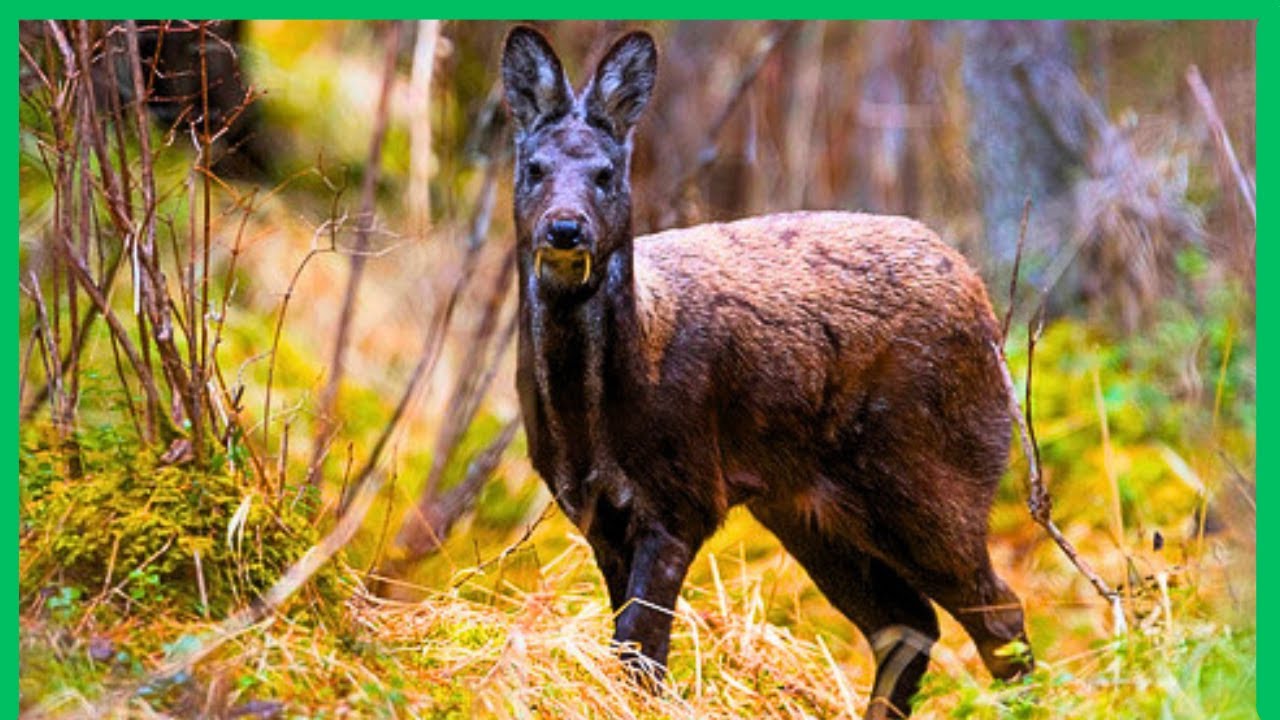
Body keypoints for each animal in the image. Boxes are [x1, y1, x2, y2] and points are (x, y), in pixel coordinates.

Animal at [501, 26, 1033, 719]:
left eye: (606, 173)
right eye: (533, 168)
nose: (565, 229)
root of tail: (985, 304)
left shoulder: (683, 493)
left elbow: (643, 648)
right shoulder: (593, 512)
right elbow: (627, 646)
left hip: (934, 475)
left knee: (999, 614)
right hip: (806, 508)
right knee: (907, 624)